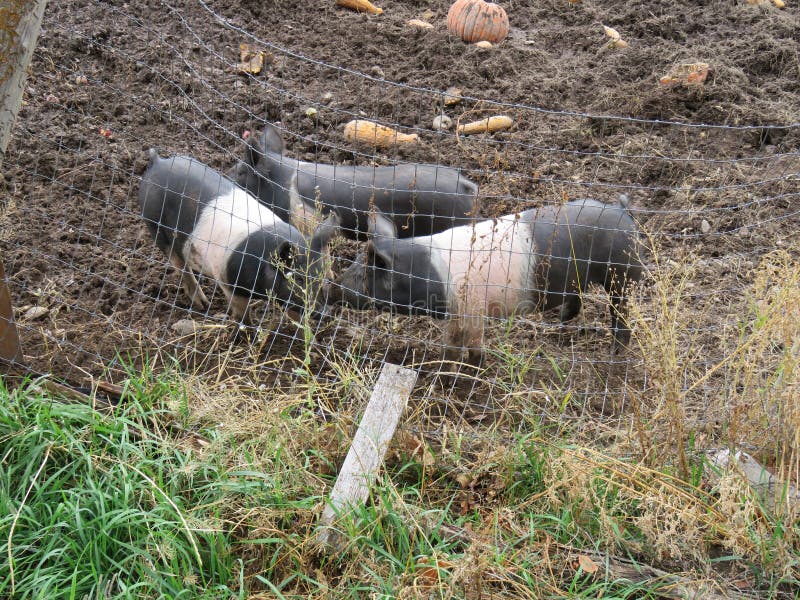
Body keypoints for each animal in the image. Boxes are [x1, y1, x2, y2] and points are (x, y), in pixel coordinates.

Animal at [139, 148, 338, 323]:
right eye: (297, 278)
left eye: (321, 275)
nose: (324, 312)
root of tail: (158, 162)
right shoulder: (227, 281)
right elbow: (242, 312)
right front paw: (245, 329)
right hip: (155, 227)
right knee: (180, 265)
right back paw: (204, 305)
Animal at [328, 198, 643, 360]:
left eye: (361, 273)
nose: (332, 288)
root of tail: (622, 211)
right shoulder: (455, 311)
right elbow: (452, 340)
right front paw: (449, 360)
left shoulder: (473, 306)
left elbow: (474, 341)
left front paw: (472, 366)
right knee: (576, 297)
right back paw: (561, 322)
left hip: (622, 273)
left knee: (621, 311)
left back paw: (616, 352)